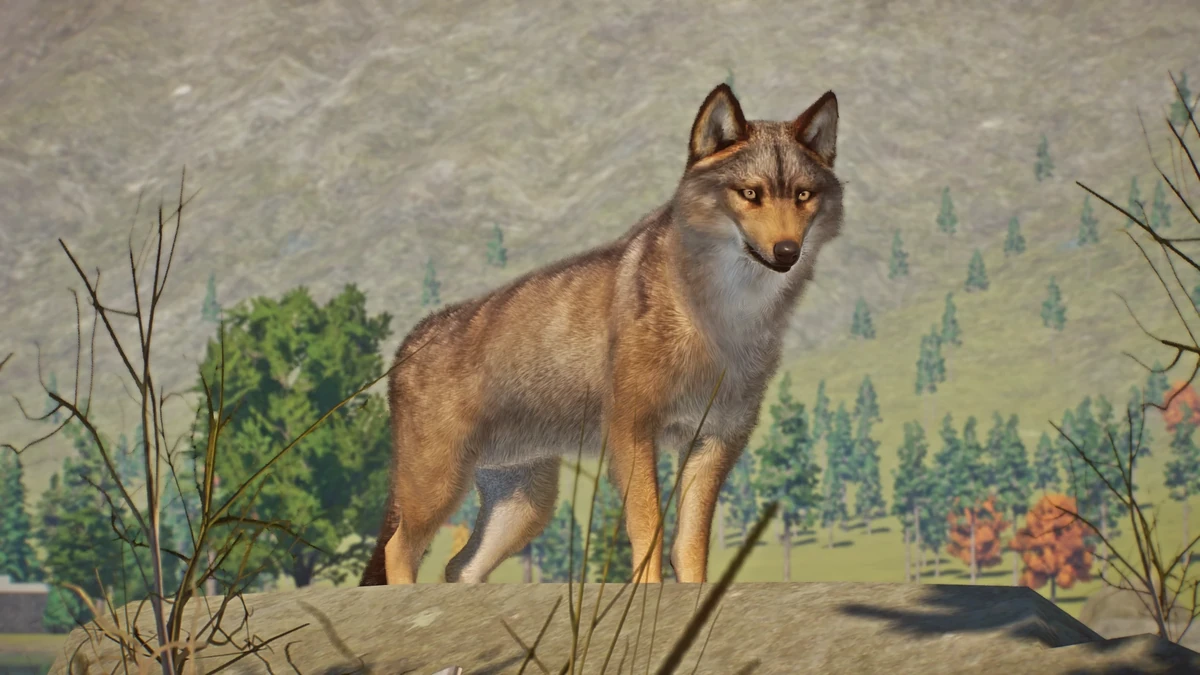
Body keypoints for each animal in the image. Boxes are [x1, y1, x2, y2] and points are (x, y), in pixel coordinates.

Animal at [360, 82, 844, 586]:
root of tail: (413, 336)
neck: (724, 317)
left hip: (525, 505)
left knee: (458, 567)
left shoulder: (715, 442)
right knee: (398, 550)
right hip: (438, 488)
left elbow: (690, 545)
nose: (787, 252)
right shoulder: (633, 434)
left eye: (803, 195)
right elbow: (648, 532)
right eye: (750, 193)